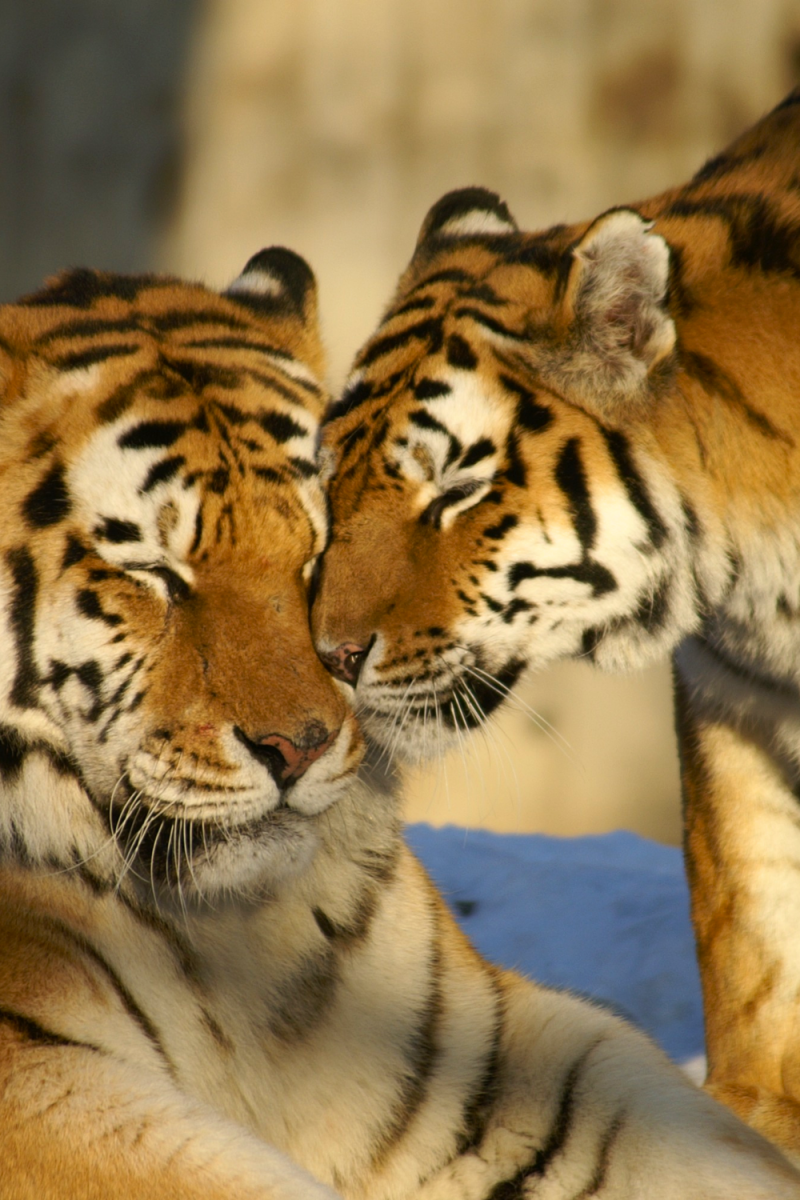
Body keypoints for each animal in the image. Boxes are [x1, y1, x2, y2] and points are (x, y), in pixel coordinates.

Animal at [1, 264, 798, 1199]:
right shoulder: (37, 1084)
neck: (236, 936)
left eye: (318, 553)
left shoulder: (465, 1059)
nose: (299, 747)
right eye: (152, 571)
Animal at [311, 86, 800, 1158]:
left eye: (456, 488)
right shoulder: (735, 697)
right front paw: (761, 1120)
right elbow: (752, 925)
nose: (329, 653)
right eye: (332, 477)